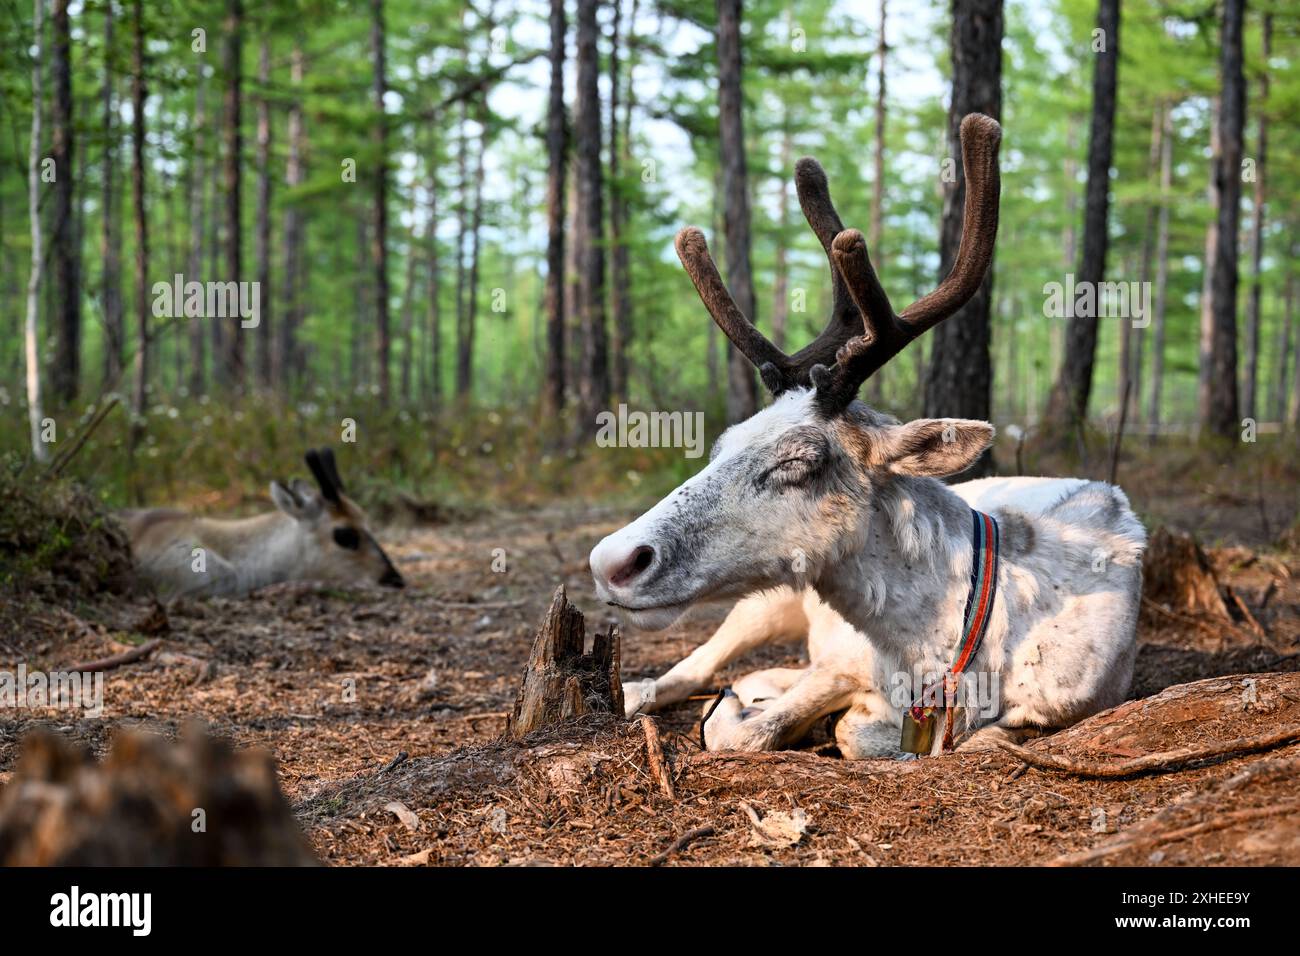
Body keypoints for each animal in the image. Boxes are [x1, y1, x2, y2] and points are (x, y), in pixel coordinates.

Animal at [590, 114, 1146, 759]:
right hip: (766, 604)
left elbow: (948, 738)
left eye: (799, 462)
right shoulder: (842, 660)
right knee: (694, 667)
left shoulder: (1064, 707)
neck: (945, 655)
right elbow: (772, 731)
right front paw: (765, 709)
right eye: (721, 443)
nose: (613, 559)